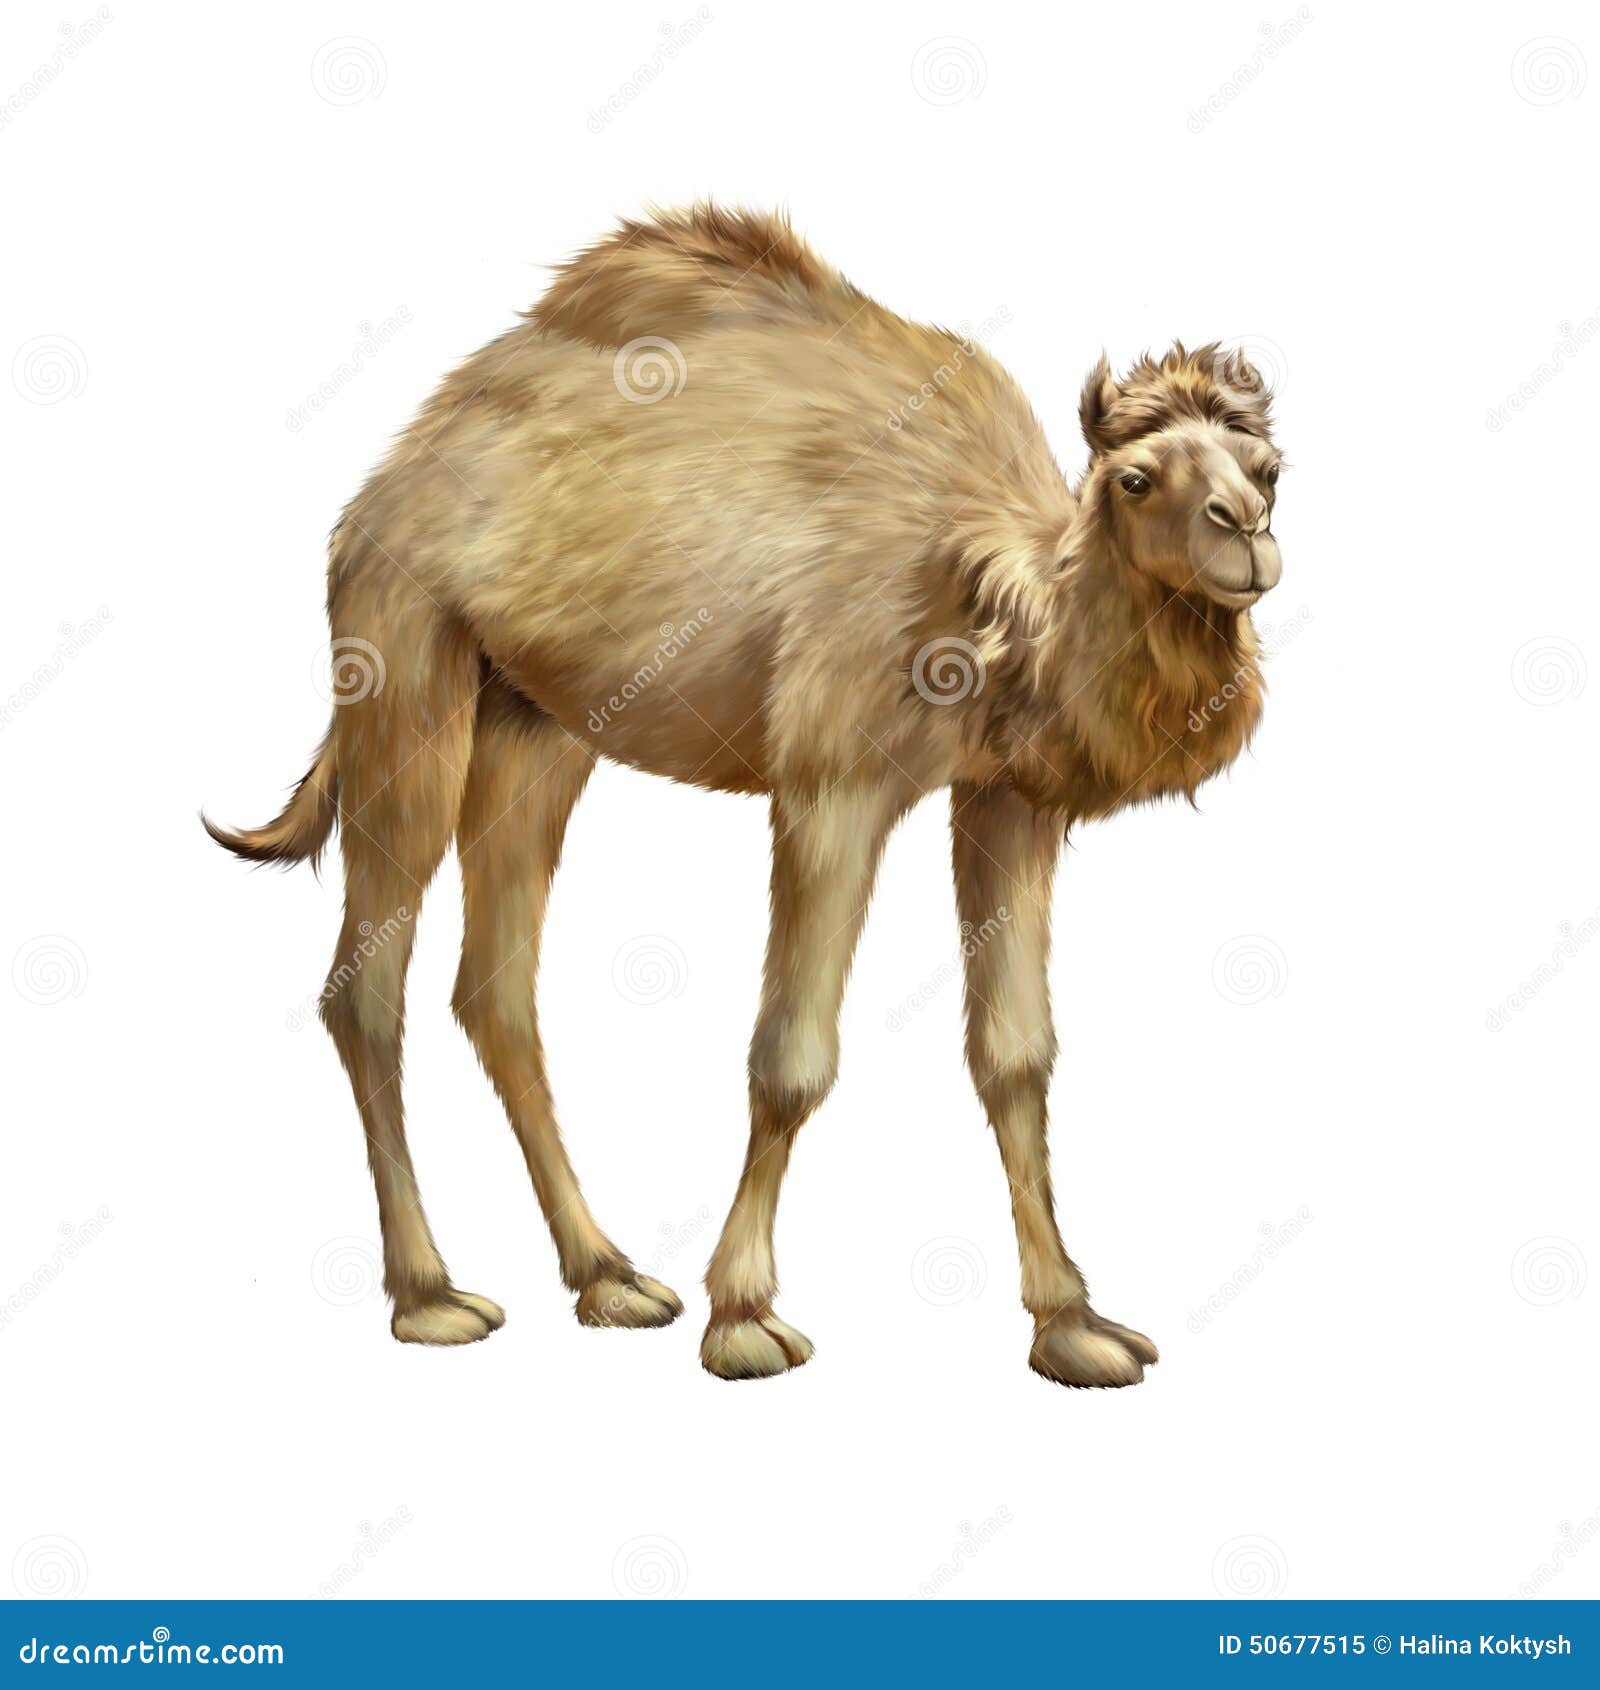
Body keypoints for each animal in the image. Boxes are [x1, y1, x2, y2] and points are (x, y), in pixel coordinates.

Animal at [205, 206, 1283, 1387]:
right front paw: (744, 1315)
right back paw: (432, 1294)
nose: (1245, 532)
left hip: (535, 724)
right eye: (1135, 478)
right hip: (403, 657)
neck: (989, 604)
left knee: (495, 991)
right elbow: (792, 1057)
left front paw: (1075, 1326)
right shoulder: (832, 777)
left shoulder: (1009, 796)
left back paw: (607, 1276)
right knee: (367, 984)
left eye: (1269, 468)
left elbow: (1016, 1056)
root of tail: (388, 478)